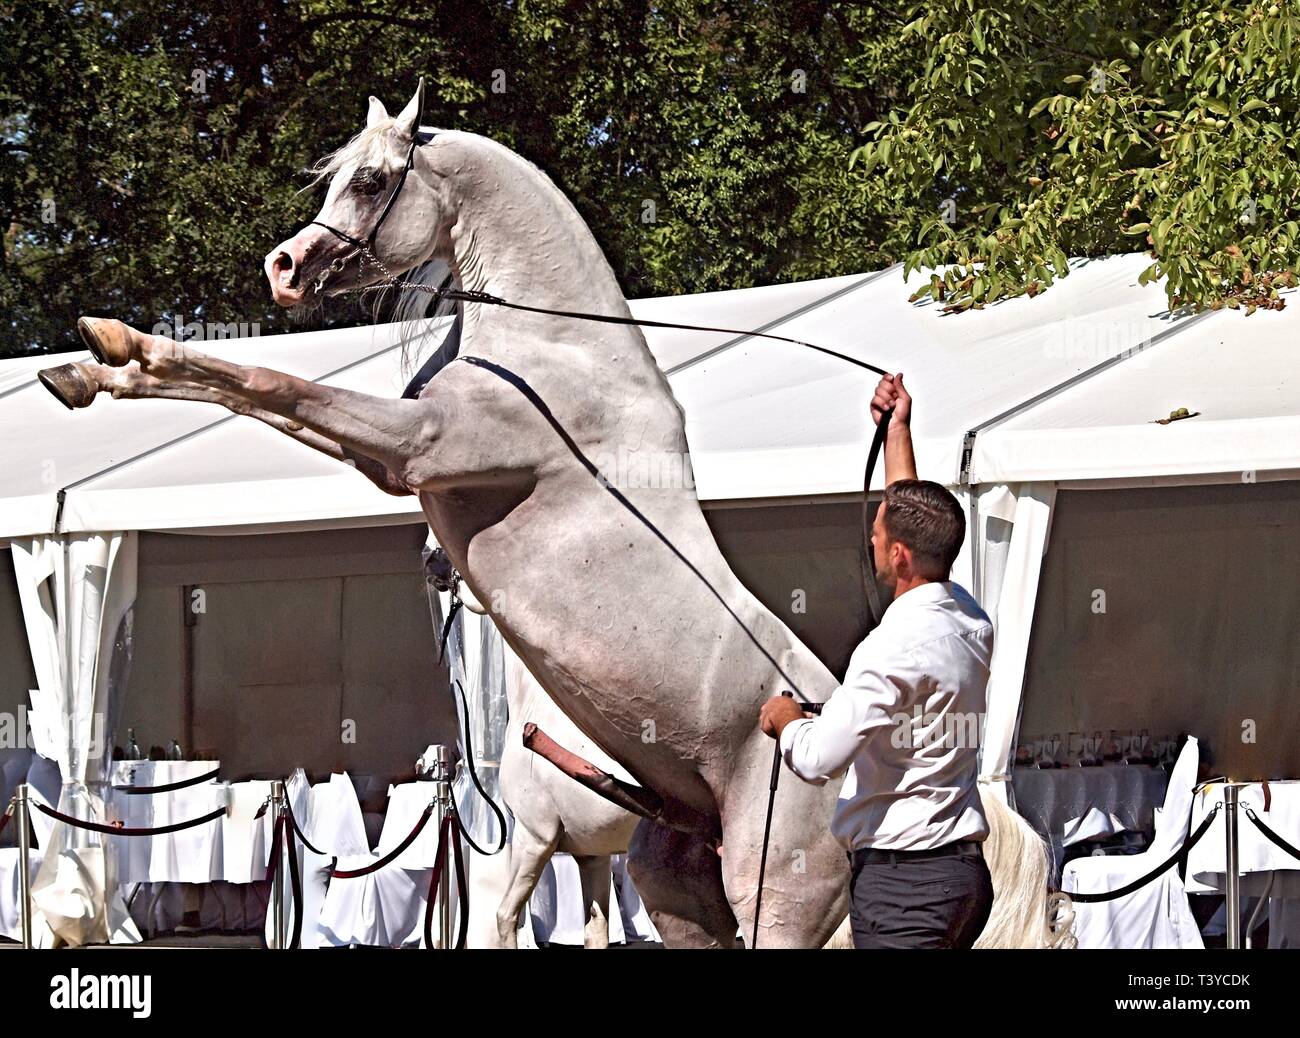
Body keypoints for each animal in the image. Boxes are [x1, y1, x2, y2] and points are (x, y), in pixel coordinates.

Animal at [38, 82, 1064, 948]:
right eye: (333, 178)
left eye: (370, 179)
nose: (284, 268)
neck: (557, 351)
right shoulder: (391, 458)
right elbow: (255, 392)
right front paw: (90, 369)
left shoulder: (417, 448)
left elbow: (264, 382)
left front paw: (118, 346)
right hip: (678, 892)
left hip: (779, 900)